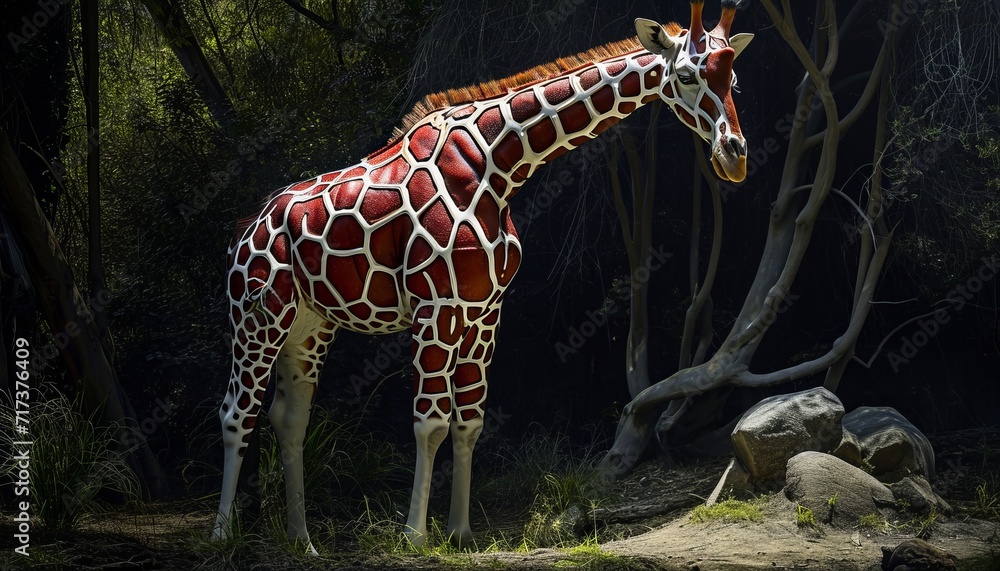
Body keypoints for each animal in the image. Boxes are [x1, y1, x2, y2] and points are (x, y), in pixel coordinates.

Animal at [213, 0, 752, 553]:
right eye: (685, 74)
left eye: (732, 76)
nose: (733, 156)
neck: (499, 165)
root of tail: (244, 229)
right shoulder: (435, 306)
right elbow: (429, 421)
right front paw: (414, 537)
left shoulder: (483, 311)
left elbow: (469, 421)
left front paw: (461, 531)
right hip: (257, 316)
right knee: (236, 413)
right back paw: (221, 535)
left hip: (308, 326)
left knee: (289, 420)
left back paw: (303, 540)